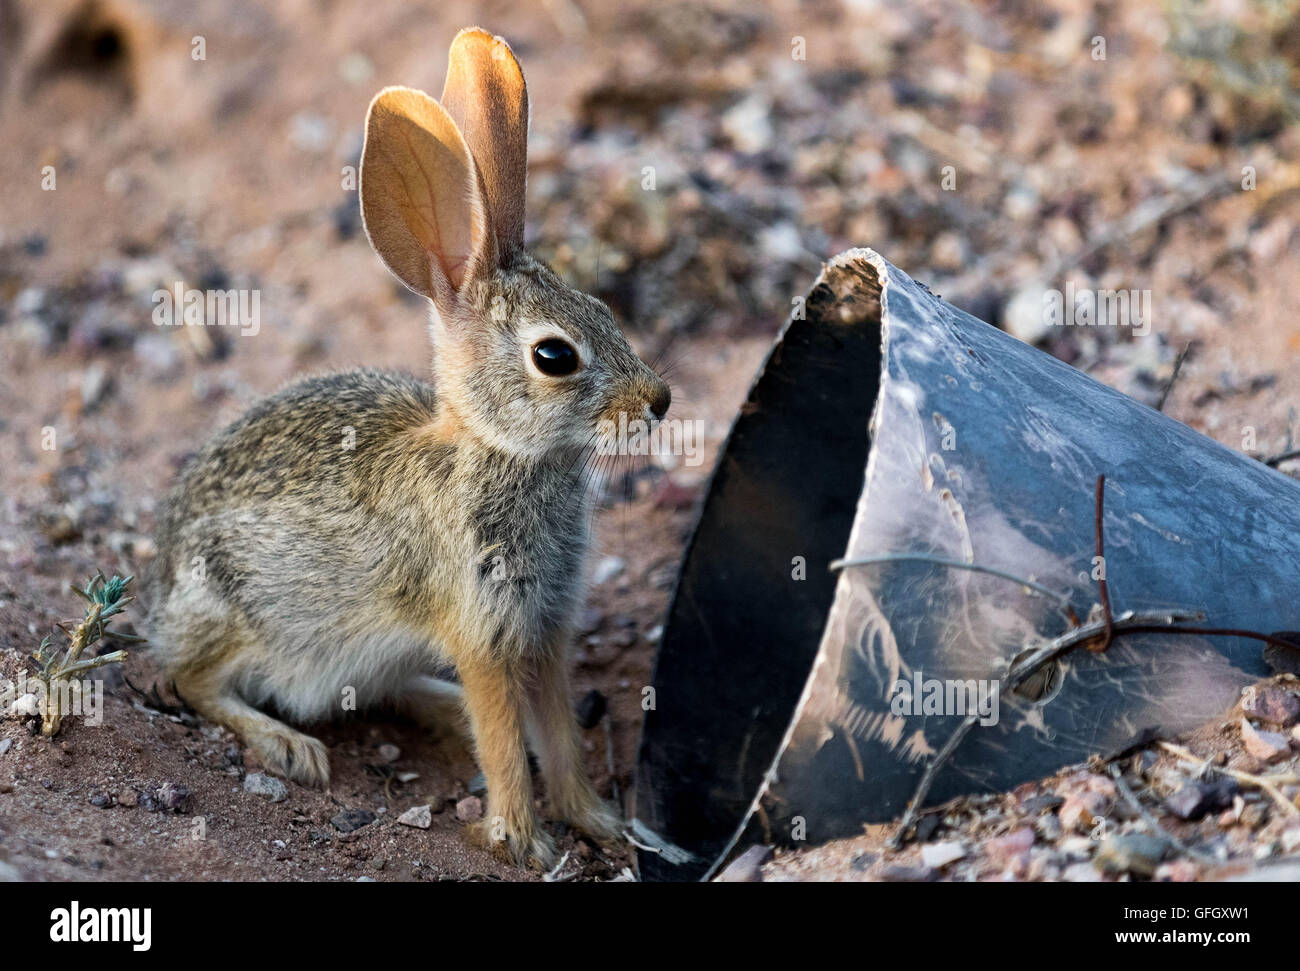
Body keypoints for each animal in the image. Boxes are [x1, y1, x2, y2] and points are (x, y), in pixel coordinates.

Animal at [146, 27, 671, 870]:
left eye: (605, 308)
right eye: (555, 356)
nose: (659, 402)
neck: (500, 452)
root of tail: (161, 579)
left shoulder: (544, 627)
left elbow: (559, 731)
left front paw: (599, 821)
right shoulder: (482, 626)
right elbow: (502, 729)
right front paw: (524, 841)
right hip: (245, 614)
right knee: (191, 678)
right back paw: (288, 744)